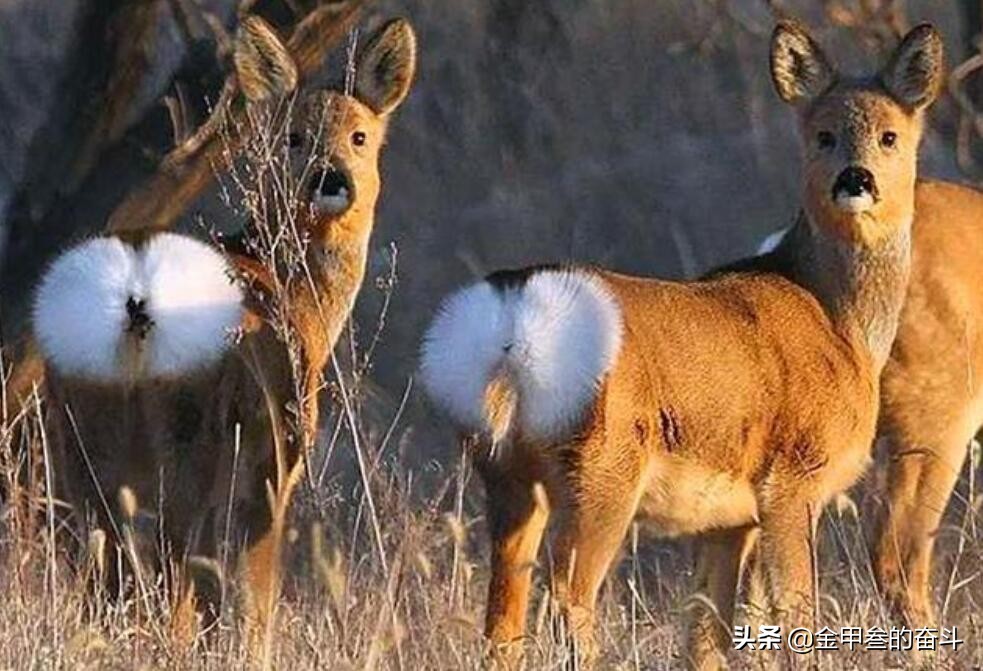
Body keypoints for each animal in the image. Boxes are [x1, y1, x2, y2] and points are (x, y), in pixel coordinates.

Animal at [29, 13, 415, 660]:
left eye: (360, 136)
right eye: (293, 137)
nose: (330, 178)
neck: (299, 298)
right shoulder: (275, 457)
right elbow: (253, 590)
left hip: (81, 439)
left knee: (102, 569)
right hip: (187, 437)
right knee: (167, 567)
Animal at [419, 20, 943, 669]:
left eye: (889, 136)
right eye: (823, 135)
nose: (856, 179)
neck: (839, 322)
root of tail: (511, 315)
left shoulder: (728, 520)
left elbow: (708, 632)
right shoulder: (793, 478)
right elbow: (795, 614)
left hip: (505, 470)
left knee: (503, 615)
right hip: (604, 466)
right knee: (568, 597)